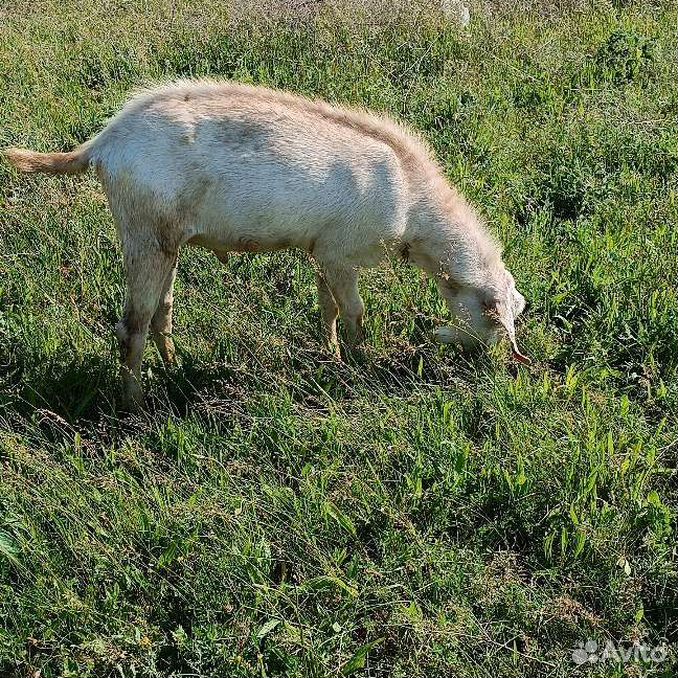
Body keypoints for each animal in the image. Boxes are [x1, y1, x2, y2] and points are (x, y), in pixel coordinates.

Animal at [2, 79, 532, 410]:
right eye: (493, 321)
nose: (494, 362)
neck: (413, 207)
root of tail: (104, 144)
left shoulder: (323, 251)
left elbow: (328, 306)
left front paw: (331, 352)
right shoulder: (342, 252)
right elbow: (355, 311)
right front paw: (359, 363)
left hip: (165, 240)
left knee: (161, 310)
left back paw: (173, 366)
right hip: (142, 232)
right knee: (131, 323)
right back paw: (134, 404)